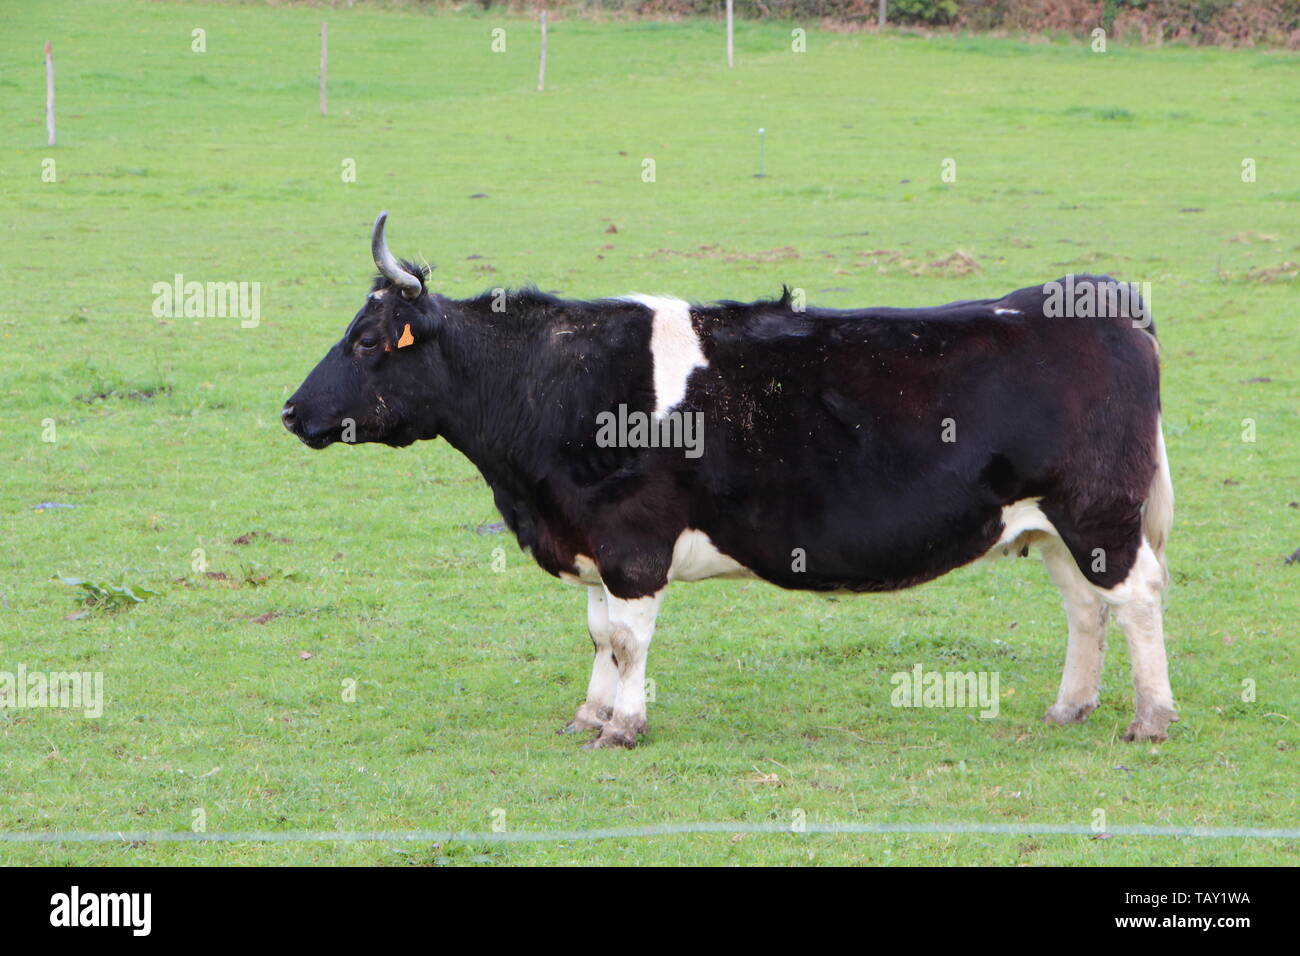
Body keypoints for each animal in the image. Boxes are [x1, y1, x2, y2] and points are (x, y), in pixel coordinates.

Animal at [283, 212, 1176, 749]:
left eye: (367, 341)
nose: (292, 411)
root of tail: (1092, 295)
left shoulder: (632, 543)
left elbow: (626, 637)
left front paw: (623, 727)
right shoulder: (591, 544)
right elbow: (597, 633)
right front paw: (588, 715)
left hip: (1100, 514)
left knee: (1136, 599)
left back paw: (1152, 718)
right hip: (1050, 524)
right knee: (1085, 609)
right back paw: (1070, 706)